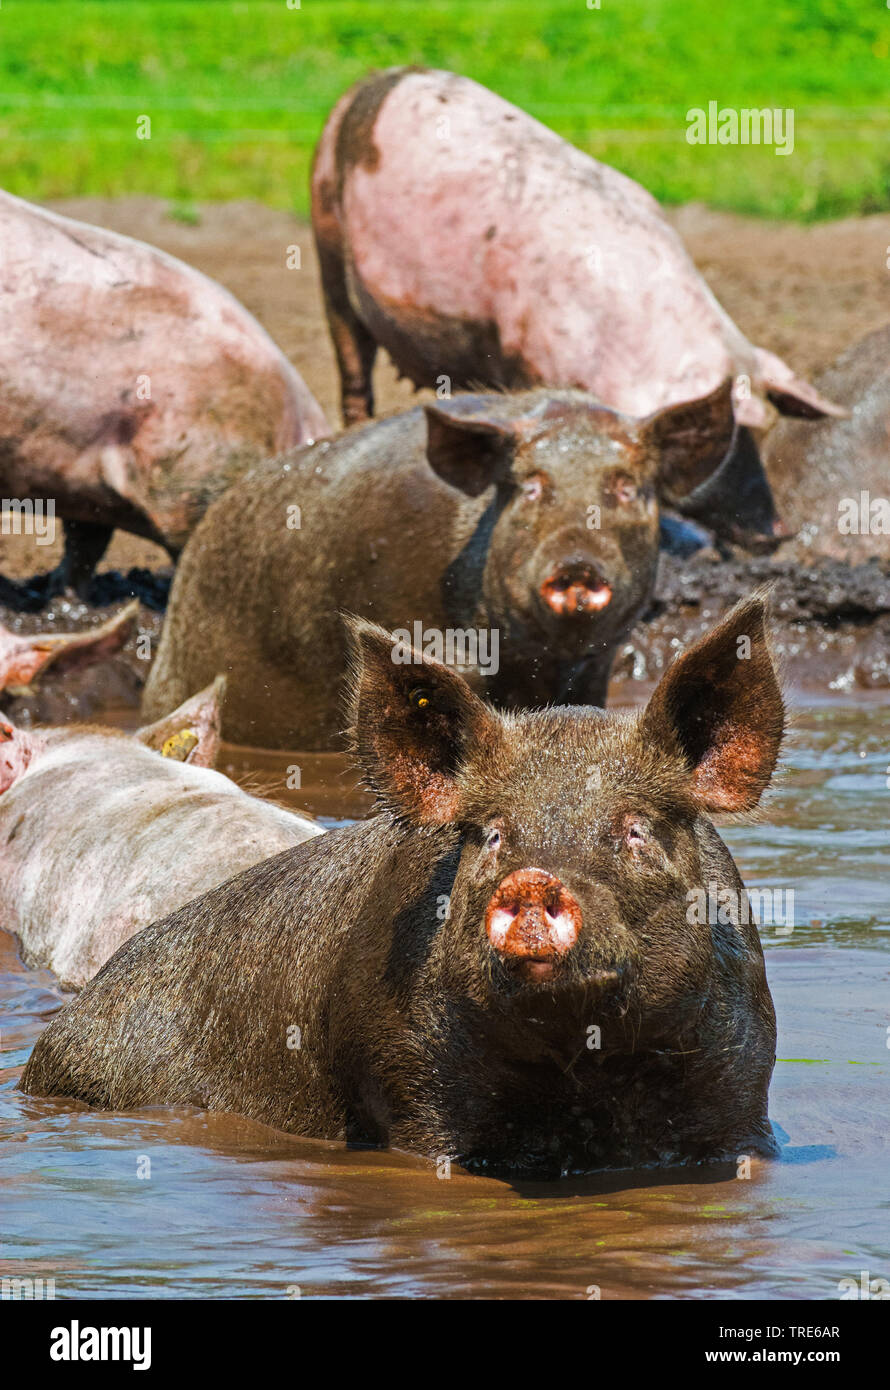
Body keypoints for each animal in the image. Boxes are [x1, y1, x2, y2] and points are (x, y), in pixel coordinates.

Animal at [311, 67, 845, 548]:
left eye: (764, 431)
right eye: (725, 439)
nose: (778, 532)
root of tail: (371, 81)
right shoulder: (523, 355)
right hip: (327, 240)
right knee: (352, 363)